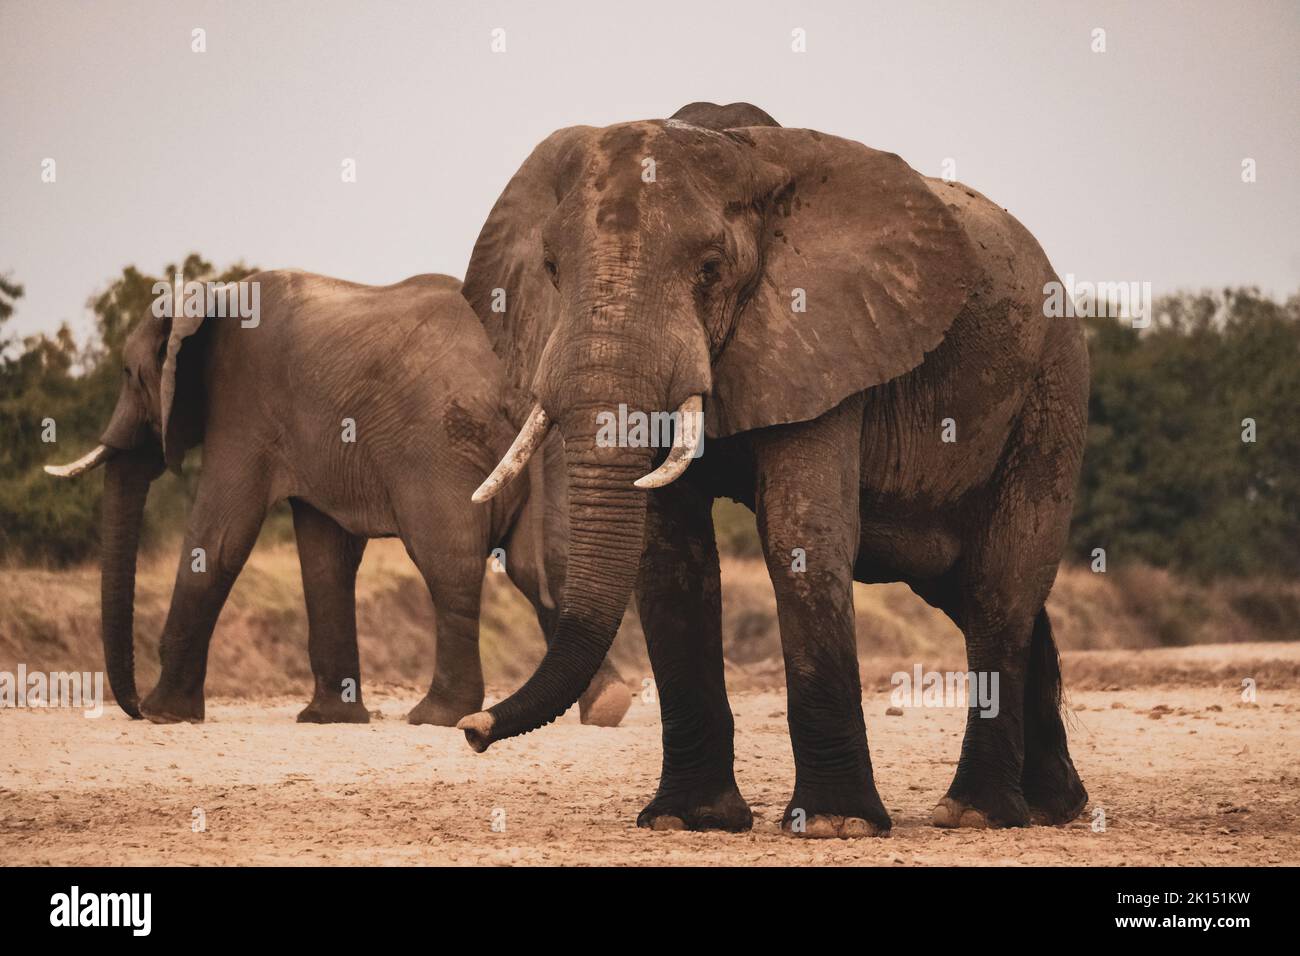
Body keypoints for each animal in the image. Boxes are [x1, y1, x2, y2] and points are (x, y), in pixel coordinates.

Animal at [44, 270, 631, 728]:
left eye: (128, 374)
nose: (132, 708)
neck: (210, 295)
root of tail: (522, 378)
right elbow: (325, 556)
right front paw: (328, 717)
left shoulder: (243, 407)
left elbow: (221, 537)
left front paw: (167, 713)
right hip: (546, 450)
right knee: (542, 565)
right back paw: (607, 706)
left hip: (440, 448)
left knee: (449, 565)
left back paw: (437, 716)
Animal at [456, 101, 1090, 838]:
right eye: (552, 268)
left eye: (709, 269)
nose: (473, 729)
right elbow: (669, 554)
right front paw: (687, 820)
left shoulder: (826, 342)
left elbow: (800, 533)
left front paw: (836, 825)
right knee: (976, 590)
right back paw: (1051, 806)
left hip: (1051, 387)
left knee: (998, 589)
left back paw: (978, 813)